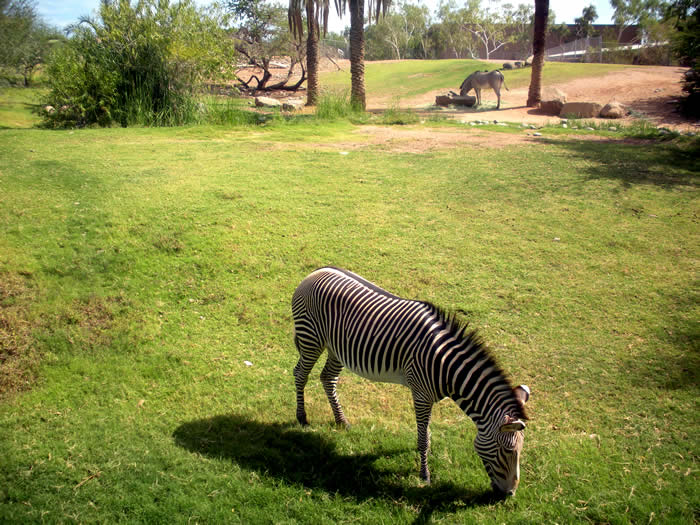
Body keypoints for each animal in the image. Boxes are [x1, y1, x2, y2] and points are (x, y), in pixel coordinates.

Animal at [292, 267, 530, 495]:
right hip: (311, 338)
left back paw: (341, 420)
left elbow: (426, 433)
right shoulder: (422, 395)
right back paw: (302, 418)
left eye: (520, 451)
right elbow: (424, 438)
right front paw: (424, 474)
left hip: (336, 347)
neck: (446, 365)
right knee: (300, 374)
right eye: (509, 451)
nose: (509, 494)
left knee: (328, 378)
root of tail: (316, 272)